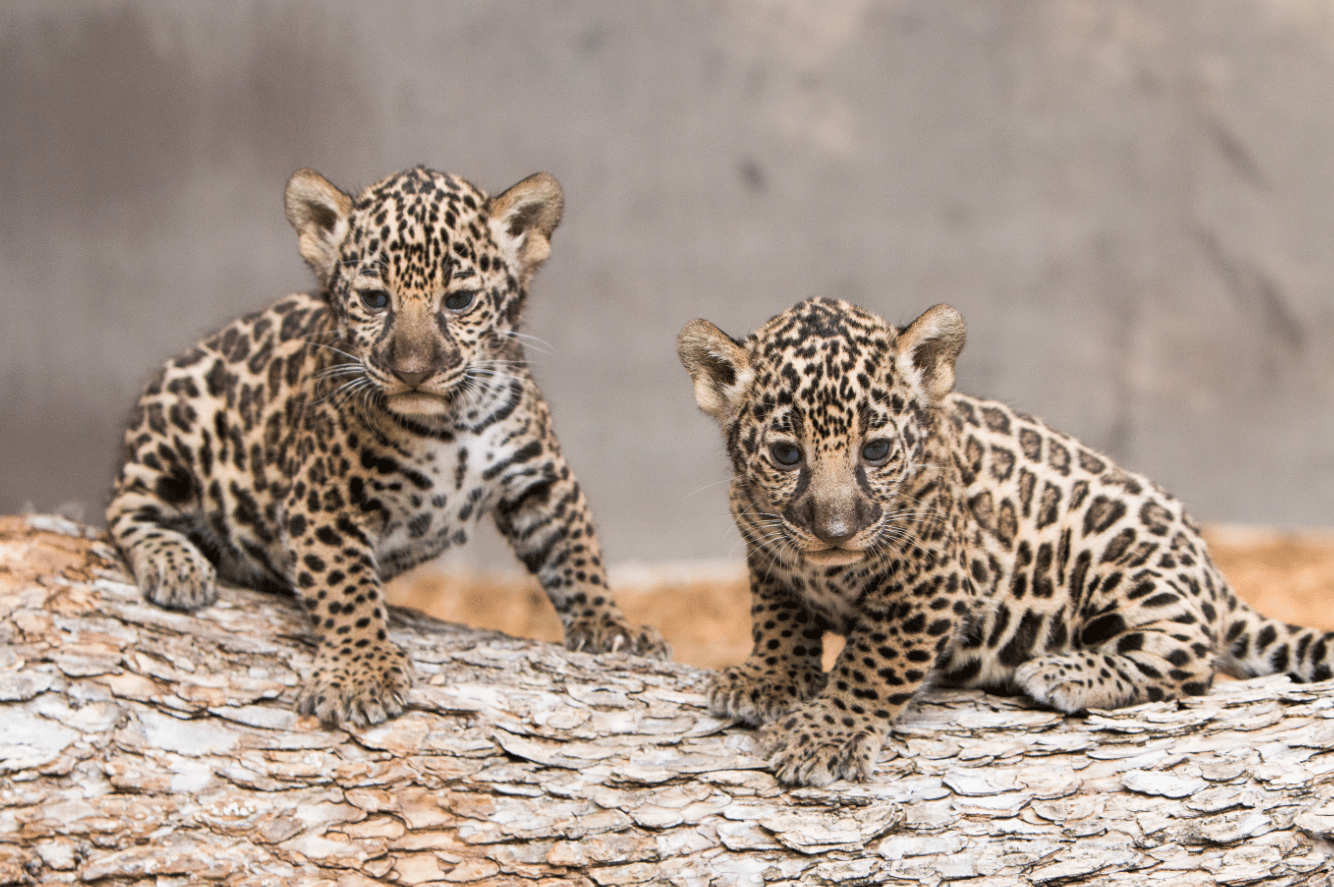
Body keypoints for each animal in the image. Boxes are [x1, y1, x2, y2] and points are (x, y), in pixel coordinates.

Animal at [107, 165, 668, 729]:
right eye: (375, 300)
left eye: (459, 300)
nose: (412, 371)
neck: (452, 425)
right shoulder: (324, 503)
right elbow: (345, 588)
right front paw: (361, 672)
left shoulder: (540, 478)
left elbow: (576, 551)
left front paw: (611, 625)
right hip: (180, 413)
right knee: (125, 507)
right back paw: (174, 565)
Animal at [679, 296, 1333, 787]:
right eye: (787, 455)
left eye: (877, 449)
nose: (835, 531)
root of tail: (1211, 572)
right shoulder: (766, 555)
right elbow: (779, 619)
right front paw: (768, 678)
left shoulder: (929, 587)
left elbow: (873, 663)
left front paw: (827, 733)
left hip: (1123, 556)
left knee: (1189, 656)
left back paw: (1066, 672)